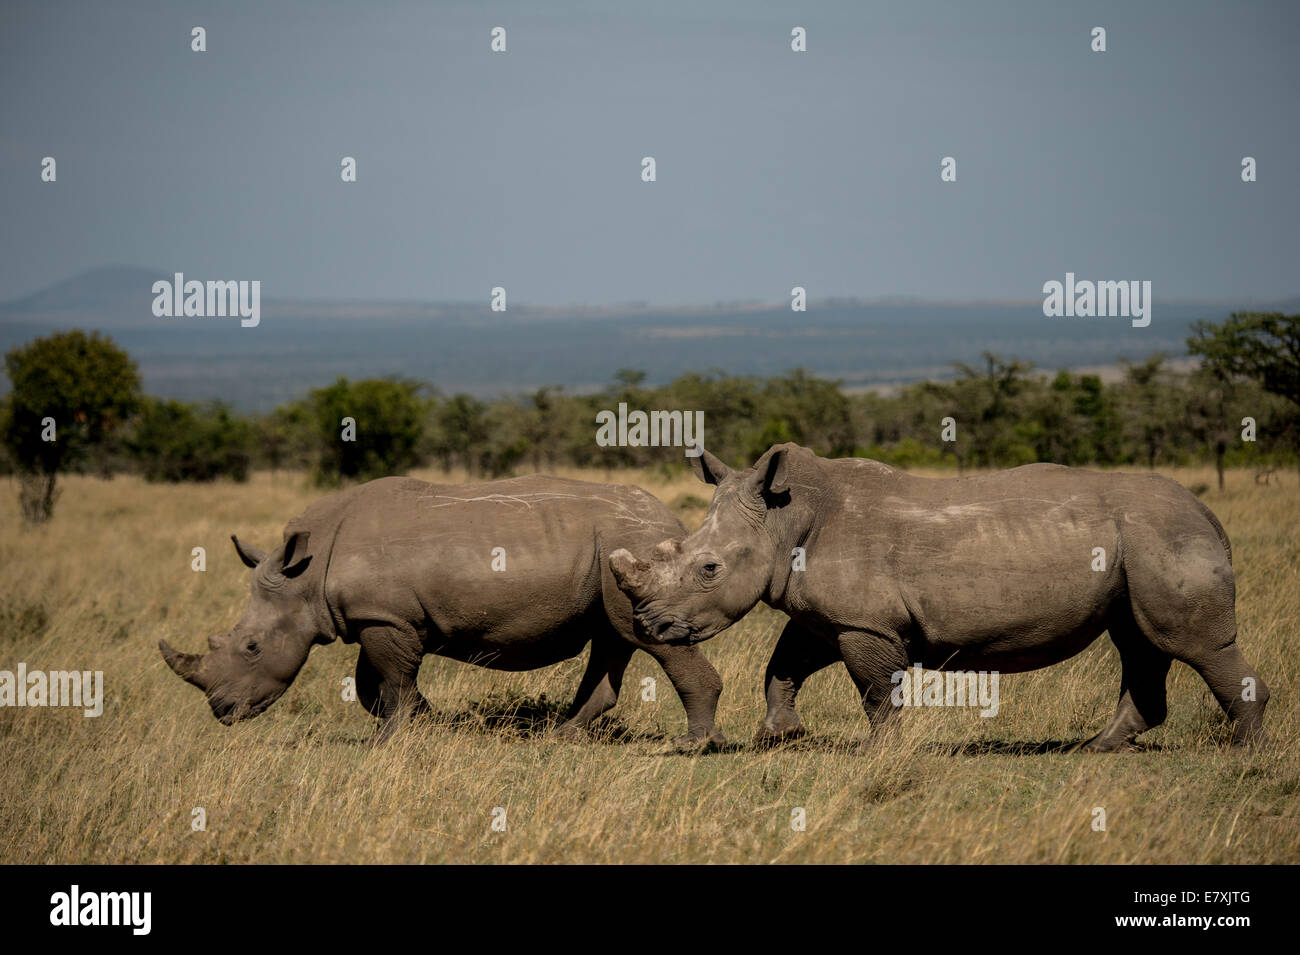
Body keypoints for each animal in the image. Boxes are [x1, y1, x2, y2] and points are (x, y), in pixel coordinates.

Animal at [159, 475, 726, 745]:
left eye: (252, 647)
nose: (222, 711)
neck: (308, 575)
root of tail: (676, 523)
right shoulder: (381, 615)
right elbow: (374, 685)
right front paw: (429, 723)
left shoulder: (384, 618)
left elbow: (389, 681)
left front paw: (392, 740)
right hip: (617, 555)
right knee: (613, 636)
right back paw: (560, 737)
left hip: (640, 548)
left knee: (652, 639)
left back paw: (694, 745)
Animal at [609, 443, 1269, 750]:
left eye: (709, 569)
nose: (649, 625)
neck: (782, 520)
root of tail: (1208, 514)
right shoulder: (833, 617)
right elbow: (784, 663)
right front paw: (780, 734)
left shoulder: (866, 624)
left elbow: (876, 691)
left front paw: (876, 752)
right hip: (1139, 545)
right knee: (1140, 642)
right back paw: (1099, 747)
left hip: (1162, 535)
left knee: (1190, 644)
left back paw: (1244, 751)